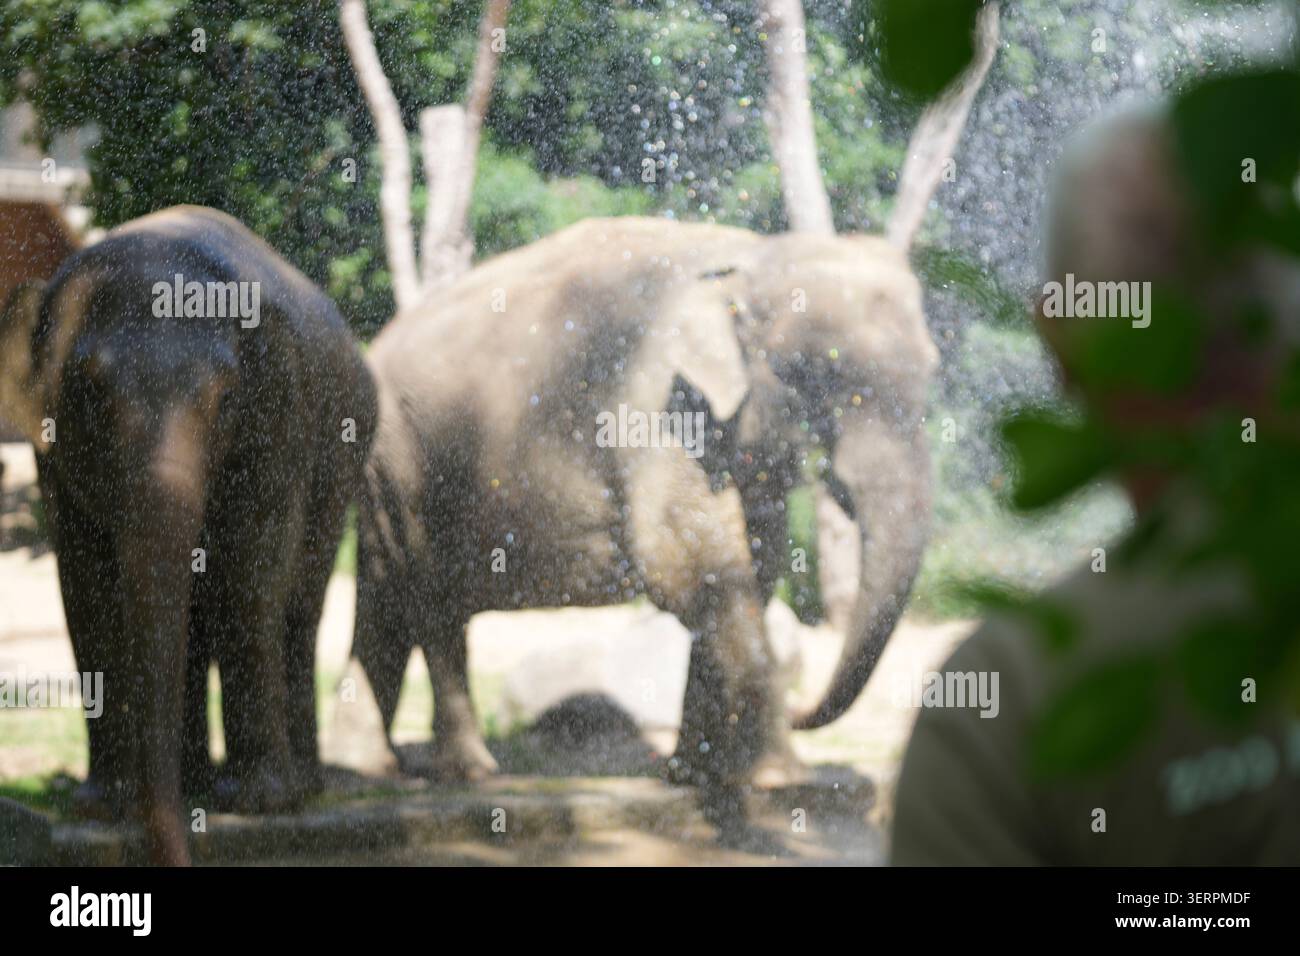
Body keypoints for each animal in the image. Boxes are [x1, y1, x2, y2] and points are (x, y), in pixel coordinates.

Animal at [7, 206, 377, 864]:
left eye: (226, 397)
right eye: (92, 390)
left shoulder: (283, 422)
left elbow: (251, 576)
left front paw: (259, 804)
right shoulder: (50, 449)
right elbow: (86, 593)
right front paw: (98, 806)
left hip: (344, 460)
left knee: (298, 606)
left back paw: (297, 789)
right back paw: (198, 784)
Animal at [353, 216, 936, 803]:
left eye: (935, 371)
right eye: (810, 374)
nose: (801, 708)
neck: (750, 258)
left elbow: (753, 566)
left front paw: (691, 776)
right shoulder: (660, 404)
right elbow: (687, 563)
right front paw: (780, 781)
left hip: (384, 472)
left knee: (382, 592)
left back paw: (370, 767)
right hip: (407, 464)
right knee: (432, 595)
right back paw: (470, 773)